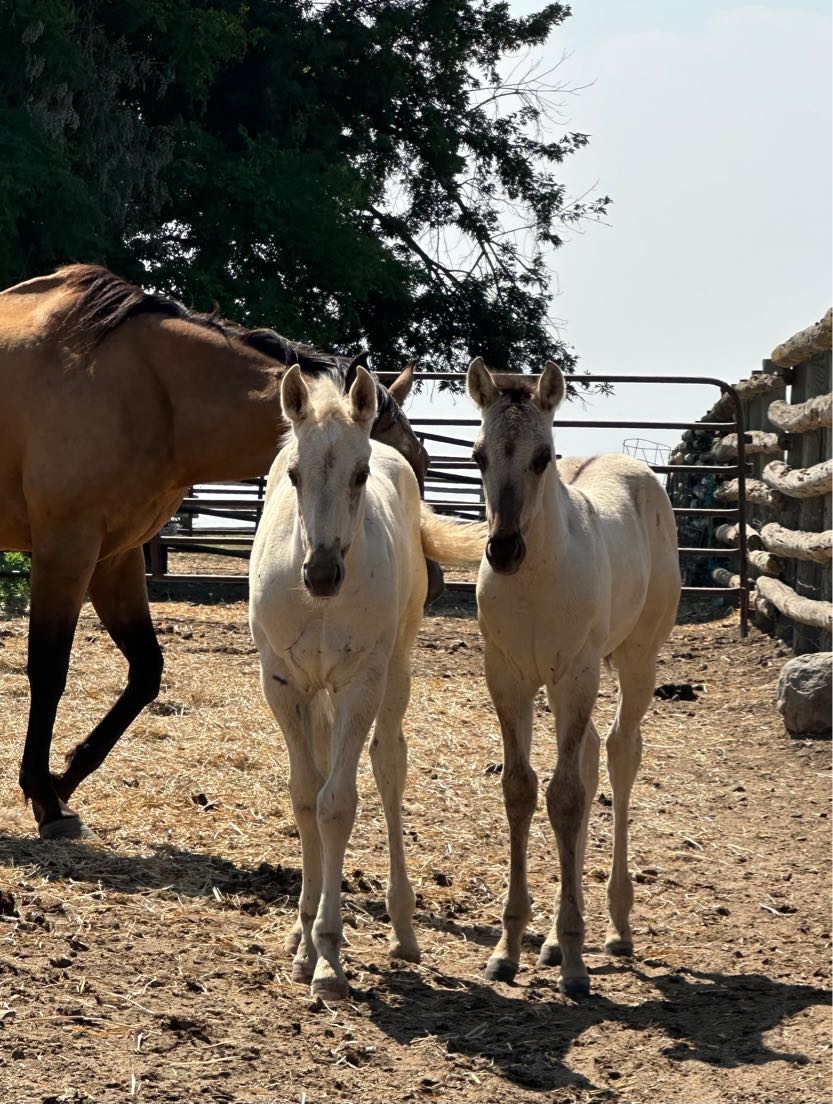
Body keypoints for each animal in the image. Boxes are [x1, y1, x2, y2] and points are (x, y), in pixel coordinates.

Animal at [0, 263, 436, 840]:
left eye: (416, 466)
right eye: (395, 465)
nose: (429, 577)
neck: (145, 388)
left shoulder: (114, 557)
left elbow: (146, 670)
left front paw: (64, 778)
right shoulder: (65, 551)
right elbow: (49, 670)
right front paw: (45, 798)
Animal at [249, 366, 485, 1000]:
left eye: (359, 474)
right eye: (294, 473)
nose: (322, 572)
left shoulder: (361, 683)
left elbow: (338, 804)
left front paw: (329, 957)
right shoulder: (284, 685)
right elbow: (306, 798)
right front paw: (305, 939)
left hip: (394, 671)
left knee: (387, 764)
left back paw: (403, 929)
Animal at [466, 357, 681, 998]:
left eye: (543, 456)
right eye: (478, 455)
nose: (503, 550)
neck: (537, 578)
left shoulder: (574, 675)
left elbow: (564, 796)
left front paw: (578, 964)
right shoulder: (508, 677)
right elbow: (521, 788)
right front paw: (510, 949)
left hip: (635, 659)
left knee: (618, 752)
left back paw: (615, 927)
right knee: (585, 759)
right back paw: (560, 943)